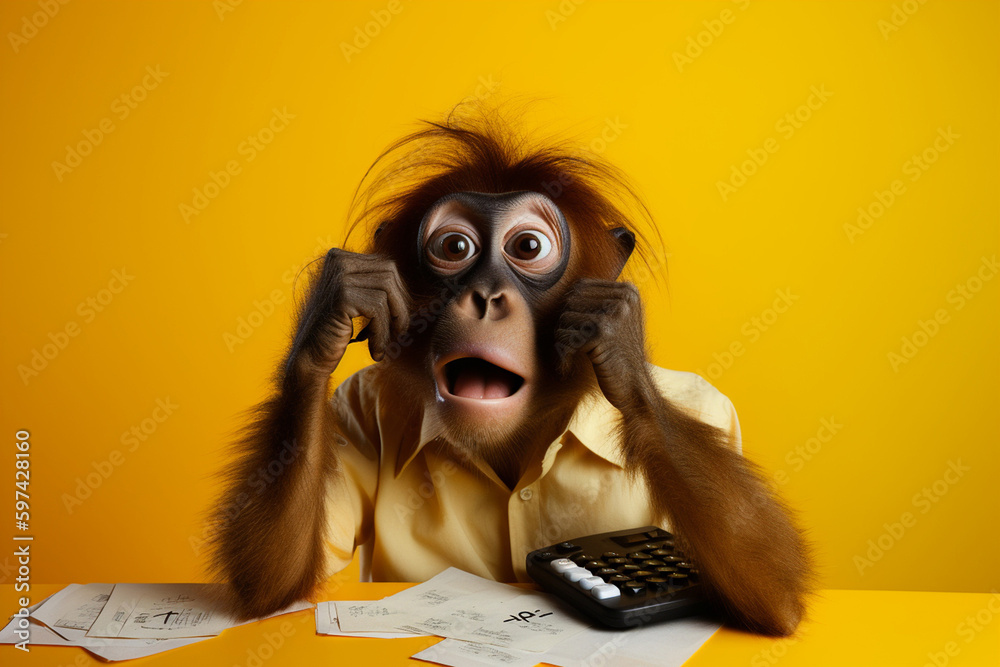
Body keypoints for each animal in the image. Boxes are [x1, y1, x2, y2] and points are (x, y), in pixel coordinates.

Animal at [208, 109, 812, 637]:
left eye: (527, 246)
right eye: (454, 246)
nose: (485, 296)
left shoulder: (710, 404)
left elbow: (774, 589)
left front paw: (615, 332)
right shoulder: (349, 405)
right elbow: (272, 582)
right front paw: (335, 302)